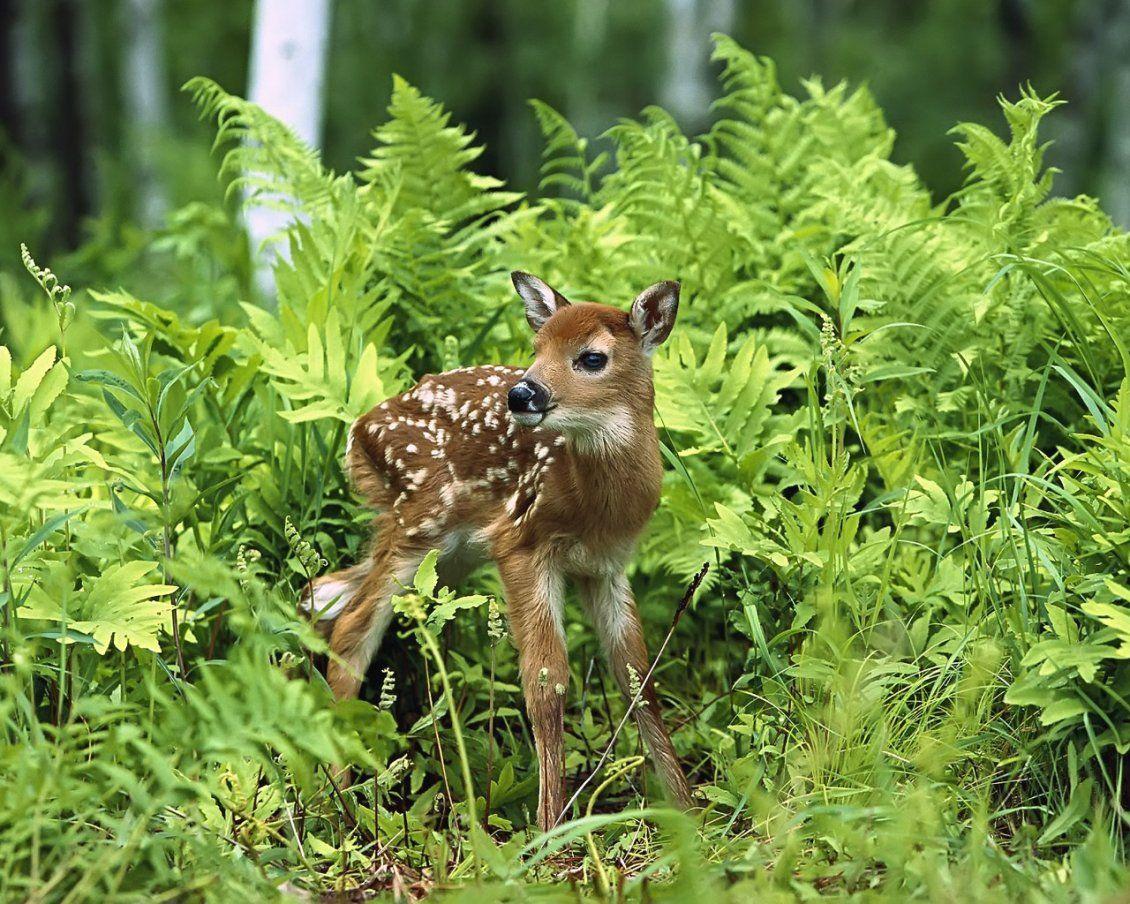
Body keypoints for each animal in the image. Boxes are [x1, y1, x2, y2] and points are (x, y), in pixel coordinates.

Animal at [303, 272, 694, 830]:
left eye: (592, 357)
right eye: (536, 347)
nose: (523, 392)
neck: (591, 506)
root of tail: (357, 432)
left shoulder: (607, 566)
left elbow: (637, 676)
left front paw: (689, 811)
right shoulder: (521, 543)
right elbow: (547, 681)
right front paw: (551, 827)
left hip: (448, 552)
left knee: (325, 592)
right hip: (420, 520)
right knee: (354, 624)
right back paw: (338, 797)